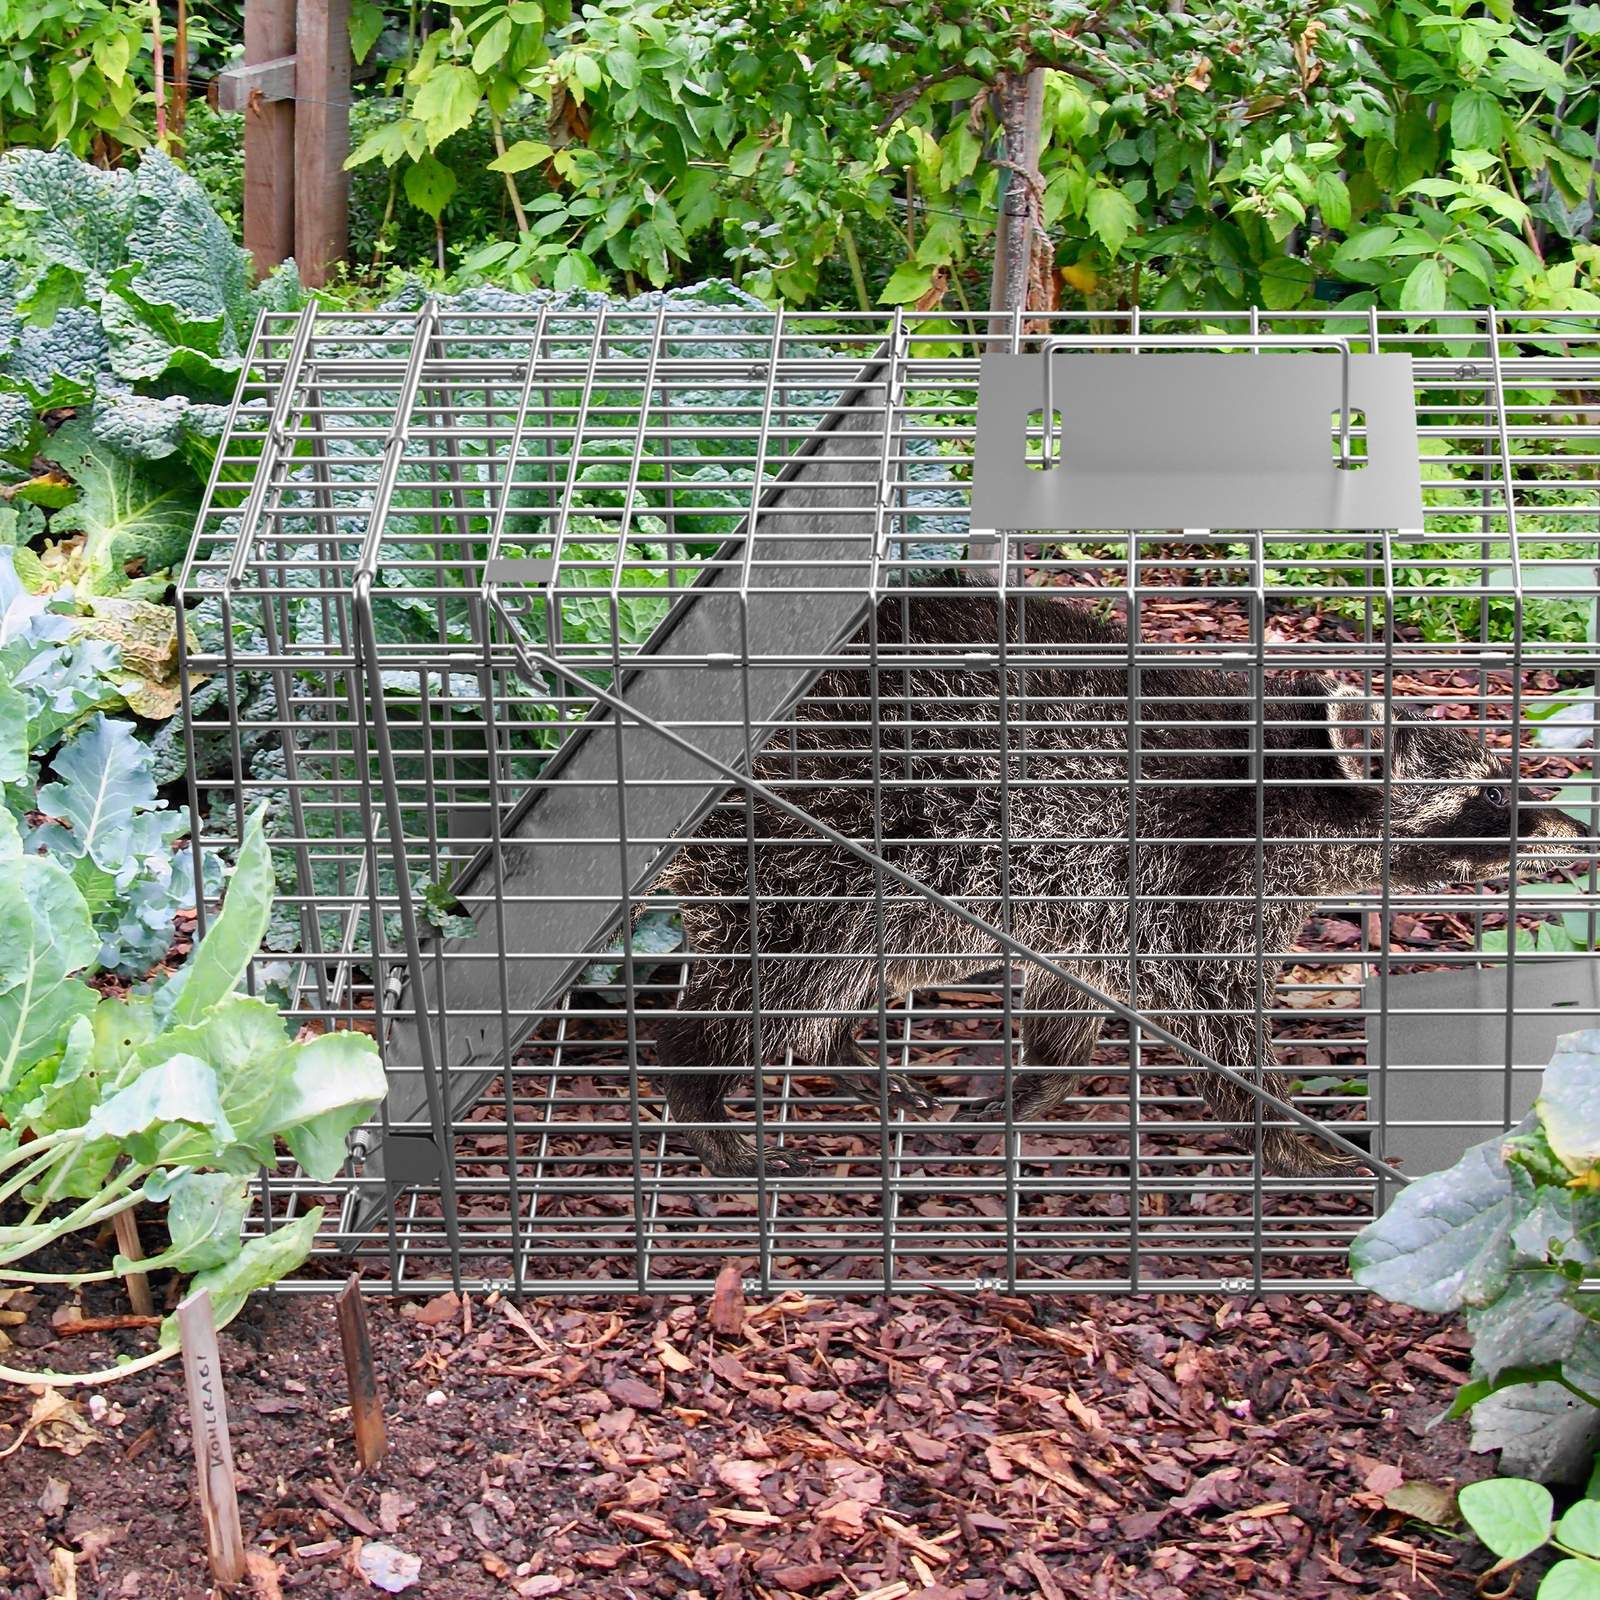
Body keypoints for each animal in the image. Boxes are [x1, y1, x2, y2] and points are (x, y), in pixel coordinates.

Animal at [652, 590, 1588, 1180]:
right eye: (1491, 796)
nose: (1577, 830)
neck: (1294, 776)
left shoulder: (1096, 899)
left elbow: (1074, 1002)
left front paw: (1042, 1083)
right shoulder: (1200, 877)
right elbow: (1219, 1029)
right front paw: (1287, 1134)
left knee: (867, 967)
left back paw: (838, 1046)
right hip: (816, 849)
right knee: (774, 982)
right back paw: (700, 1090)